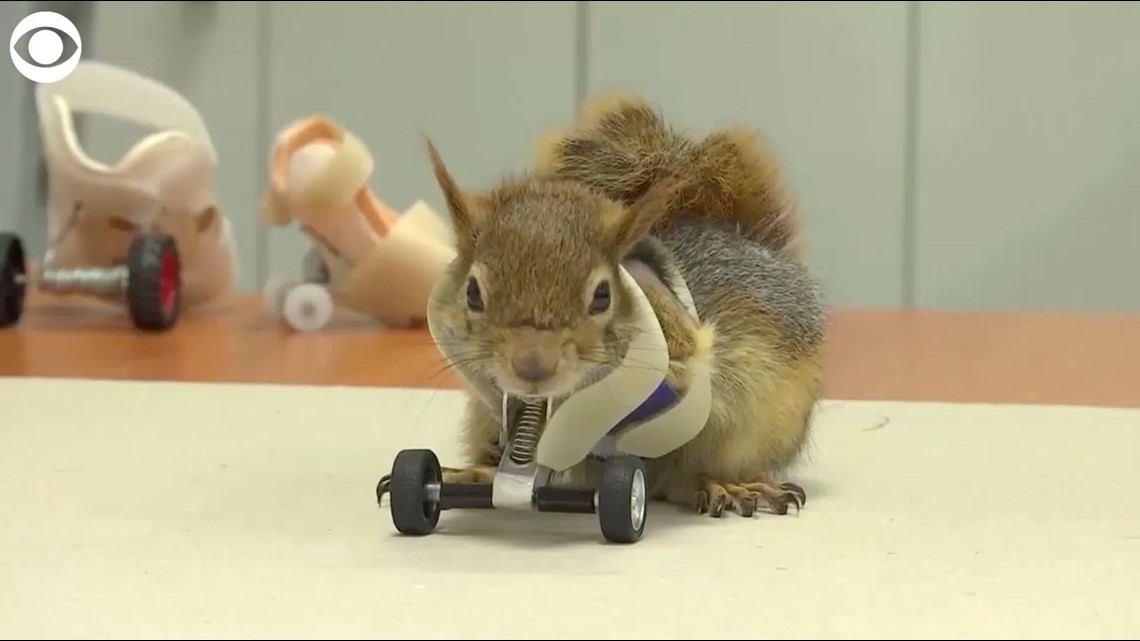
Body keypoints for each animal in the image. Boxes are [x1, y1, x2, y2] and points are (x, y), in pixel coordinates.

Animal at [411, 92, 826, 518]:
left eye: (602, 295)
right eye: (472, 292)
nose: (533, 366)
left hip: (753, 428)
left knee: (683, 479)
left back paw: (724, 484)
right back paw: (478, 470)